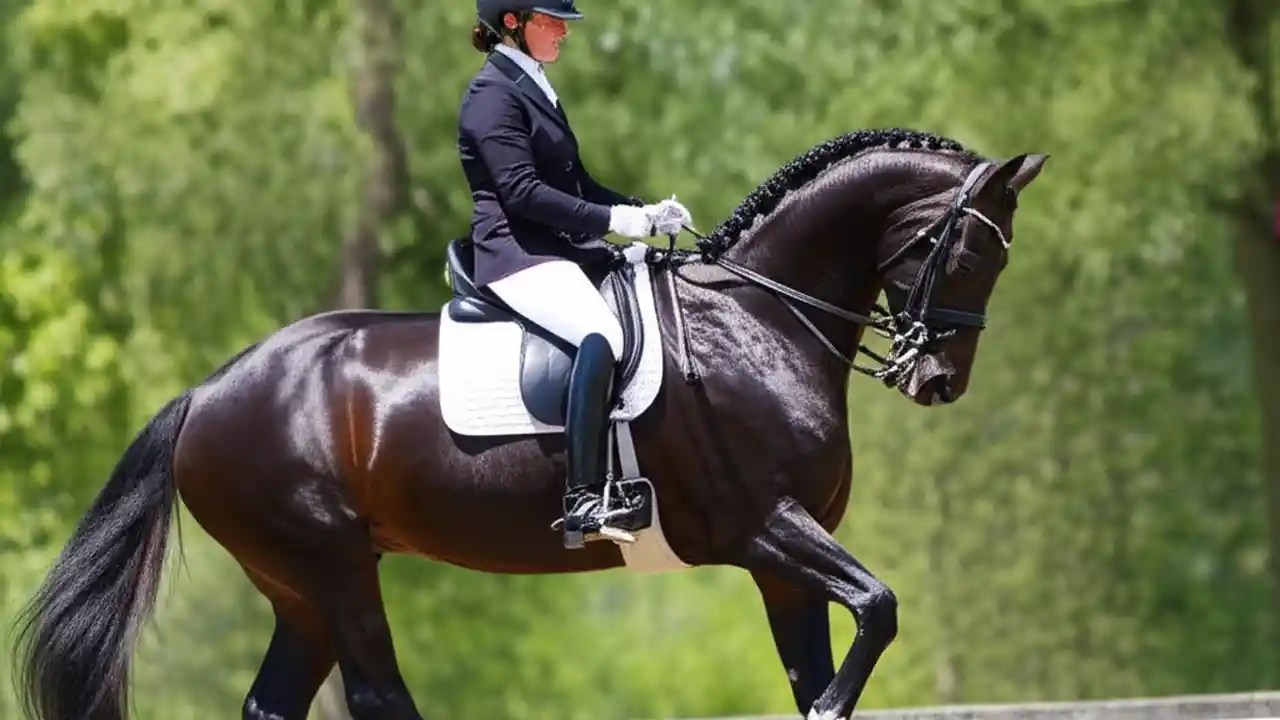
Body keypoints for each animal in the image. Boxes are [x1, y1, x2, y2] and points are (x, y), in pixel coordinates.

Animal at [13, 129, 1046, 720]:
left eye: (997, 262)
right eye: (962, 252)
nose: (937, 379)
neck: (760, 318)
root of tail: (207, 391)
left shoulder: (785, 562)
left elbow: (826, 666)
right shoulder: (765, 528)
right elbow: (879, 610)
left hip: (298, 590)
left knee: (275, 705)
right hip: (331, 567)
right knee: (379, 696)